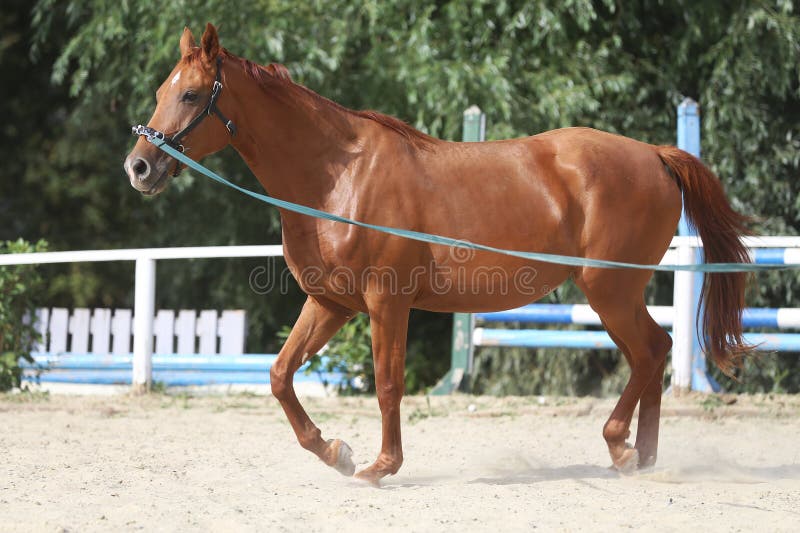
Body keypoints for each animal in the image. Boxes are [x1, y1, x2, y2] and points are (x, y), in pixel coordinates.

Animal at [125, 23, 751, 485]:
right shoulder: (331, 303)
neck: (337, 178)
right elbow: (280, 375)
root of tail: (655, 154)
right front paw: (335, 451)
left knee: (648, 353)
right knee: (656, 350)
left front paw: (379, 466)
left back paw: (622, 449)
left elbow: (387, 383)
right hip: (614, 292)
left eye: (188, 94)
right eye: (158, 94)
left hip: (609, 289)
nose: (139, 167)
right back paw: (642, 457)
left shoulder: (386, 303)